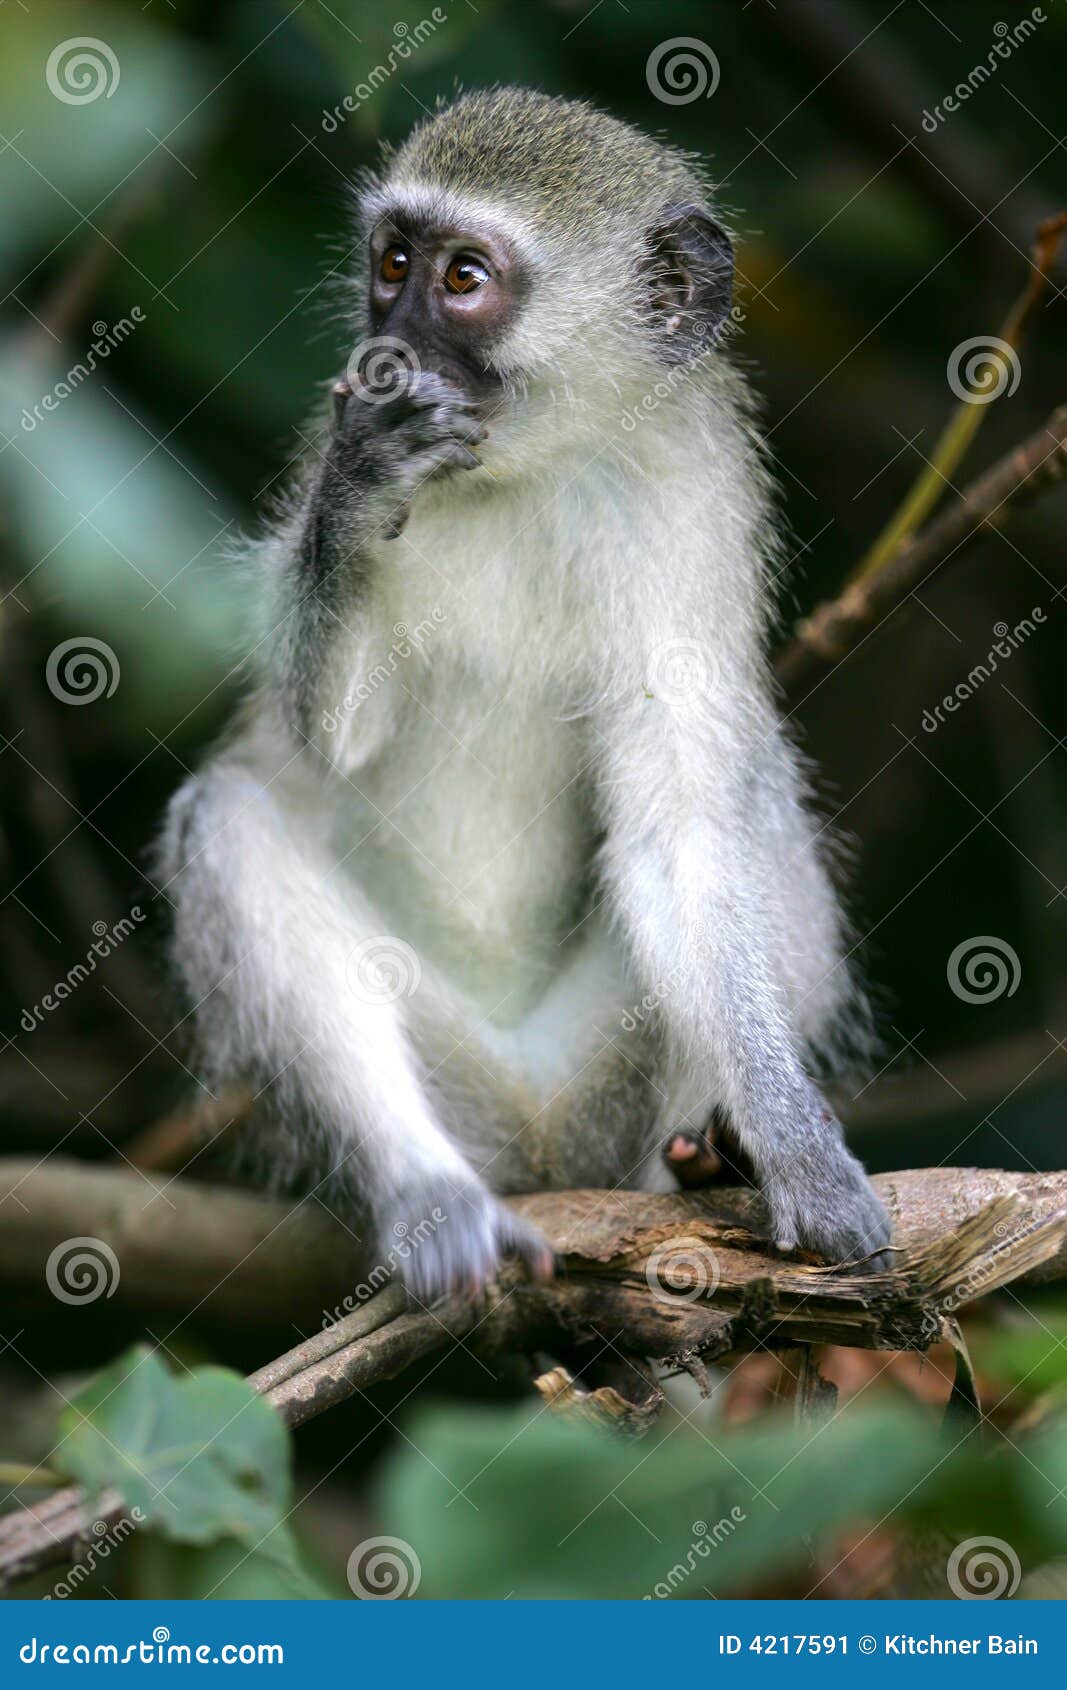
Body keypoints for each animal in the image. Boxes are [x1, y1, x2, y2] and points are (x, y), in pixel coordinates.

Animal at [158, 87, 892, 1302]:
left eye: (462, 277)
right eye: (392, 261)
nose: (389, 347)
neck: (526, 467)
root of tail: (539, 1137)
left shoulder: (694, 488)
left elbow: (681, 830)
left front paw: (793, 1146)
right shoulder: (322, 433)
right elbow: (328, 737)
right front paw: (364, 477)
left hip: (599, 1084)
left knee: (748, 798)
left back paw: (701, 1164)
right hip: (461, 1078)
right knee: (233, 816)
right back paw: (430, 1194)